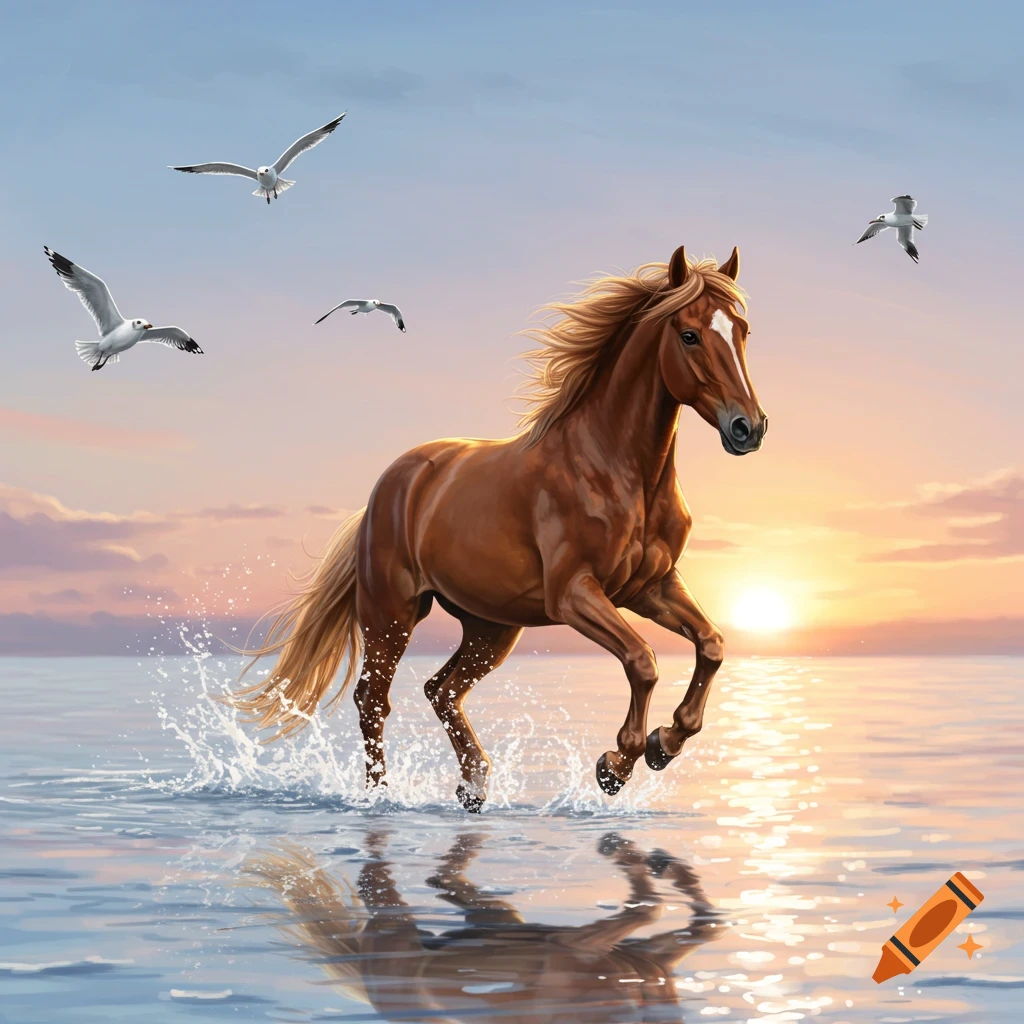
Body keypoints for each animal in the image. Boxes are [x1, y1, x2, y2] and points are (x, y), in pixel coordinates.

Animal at [234, 244, 767, 810]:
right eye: (688, 334)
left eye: (742, 330)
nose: (748, 428)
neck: (615, 469)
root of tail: (390, 484)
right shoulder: (575, 593)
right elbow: (642, 661)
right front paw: (617, 765)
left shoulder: (652, 587)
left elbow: (711, 645)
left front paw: (664, 742)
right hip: (392, 613)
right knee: (373, 697)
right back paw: (380, 795)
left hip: (492, 627)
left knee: (440, 689)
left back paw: (473, 786)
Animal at [243, 832, 724, 1023]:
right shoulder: (572, 945)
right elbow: (655, 910)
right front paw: (631, 852)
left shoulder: (639, 956)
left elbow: (704, 923)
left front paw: (660, 862)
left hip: (492, 920)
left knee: (440, 881)